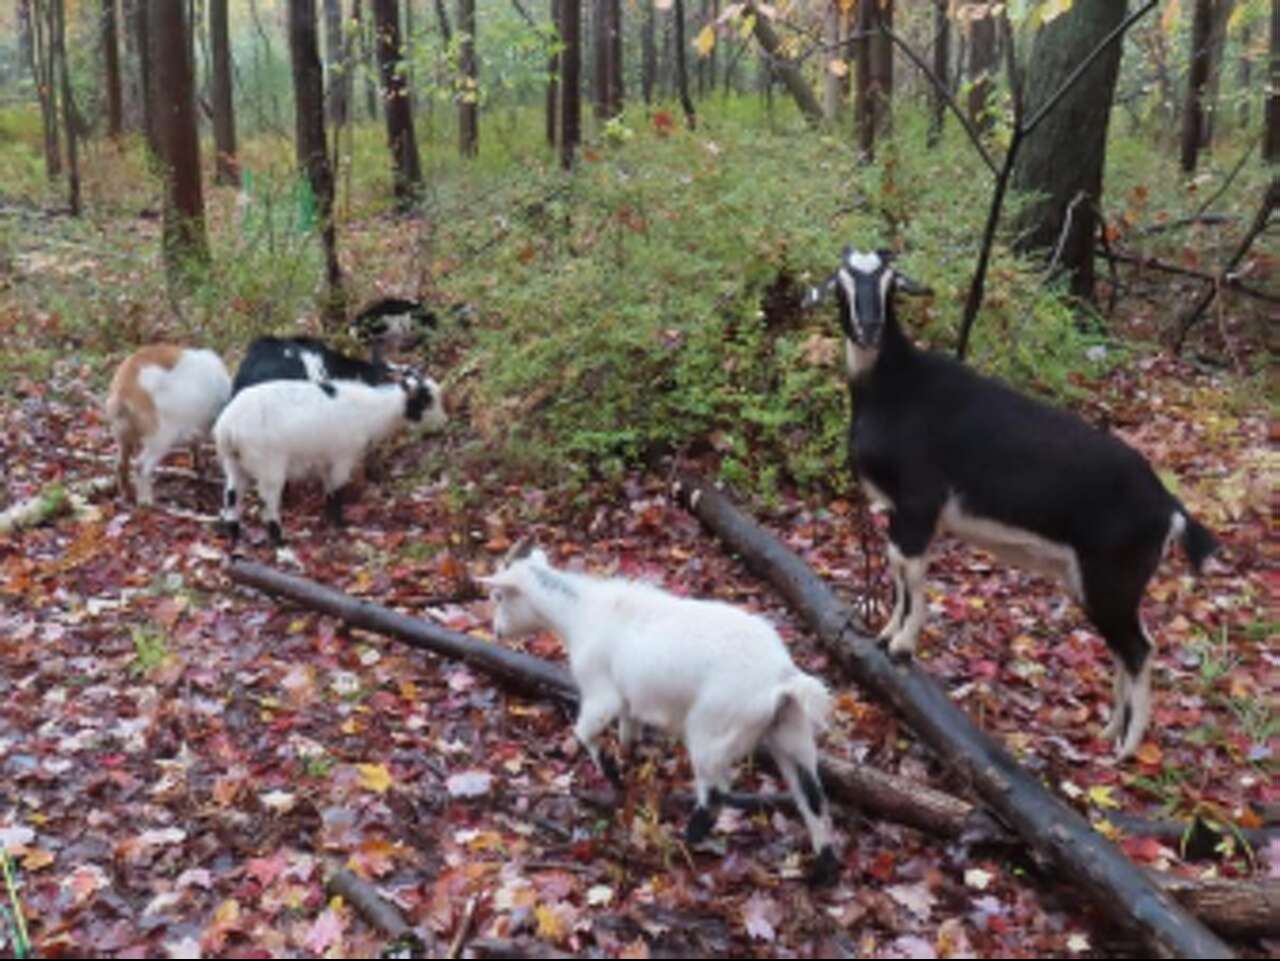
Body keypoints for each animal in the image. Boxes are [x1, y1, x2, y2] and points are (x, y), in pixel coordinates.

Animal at [105, 345, 232, 505]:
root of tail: (123, 389)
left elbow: (195, 445)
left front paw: (198, 466)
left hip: (123, 436)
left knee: (121, 465)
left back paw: (126, 496)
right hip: (160, 437)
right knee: (141, 466)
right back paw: (147, 502)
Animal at [214, 373, 445, 546]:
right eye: (426, 401)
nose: (443, 425)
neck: (373, 411)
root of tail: (229, 427)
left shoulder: (326, 460)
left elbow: (329, 492)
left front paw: (329, 521)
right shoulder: (342, 457)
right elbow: (337, 491)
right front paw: (340, 524)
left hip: (233, 463)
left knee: (231, 496)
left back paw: (234, 534)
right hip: (269, 464)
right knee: (269, 502)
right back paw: (278, 539)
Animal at [481, 543, 840, 886]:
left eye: (499, 596)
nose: (496, 632)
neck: (581, 613)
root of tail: (782, 678)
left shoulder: (601, 694)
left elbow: (583, 732)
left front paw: (610, 770)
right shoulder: (630, 701)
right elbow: (628, 735)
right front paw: (626, 766)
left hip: (713, 729)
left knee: (717, 791)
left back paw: (686, 840)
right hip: (790, 732)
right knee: (812, 796)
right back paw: (823, 870)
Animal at [809, 245, 1217, 760]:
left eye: (890, 281)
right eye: (841, 280)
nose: (869, 327)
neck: (894, 387)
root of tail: (1168, 507)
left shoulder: (920, 503)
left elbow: (912, 572)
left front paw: (902, 645)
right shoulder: (903, 513)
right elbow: (899, 567)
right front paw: (885, 635)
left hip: (1113, 577)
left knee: (1141, 649)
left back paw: (1126, 749)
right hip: (1098, 583)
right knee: (1127, 647)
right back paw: (1108, 732)